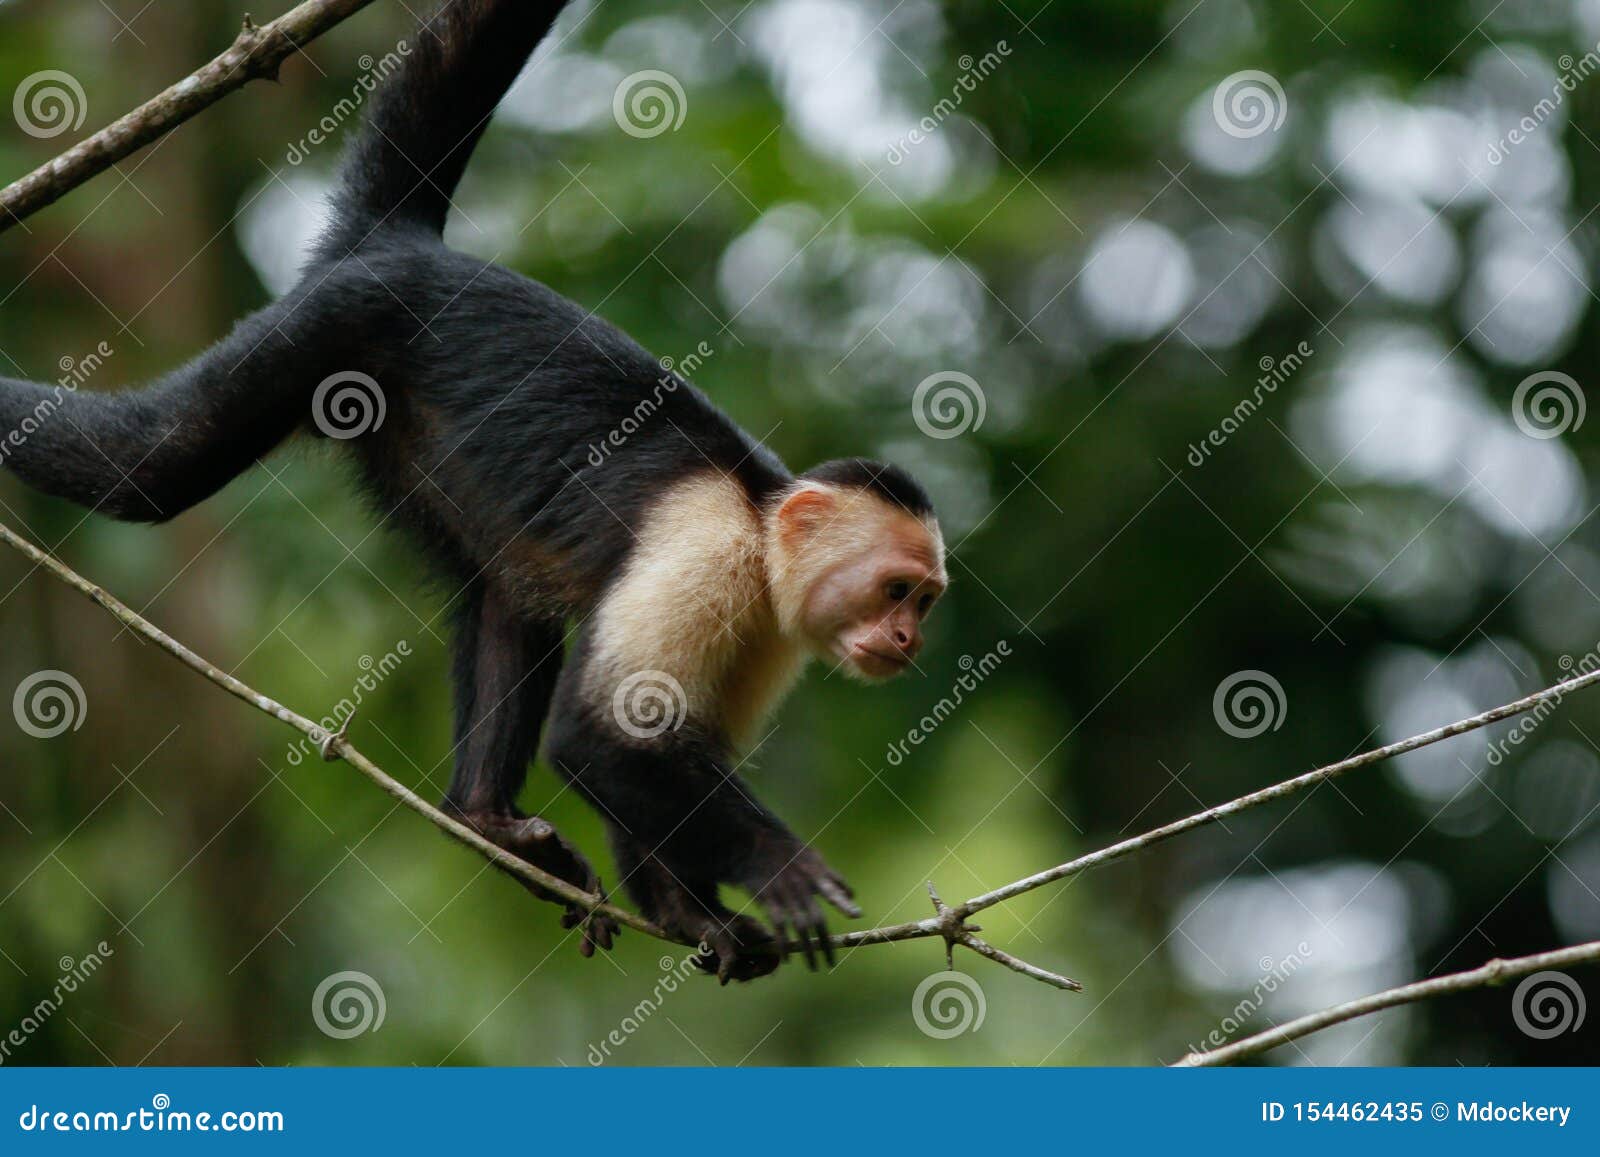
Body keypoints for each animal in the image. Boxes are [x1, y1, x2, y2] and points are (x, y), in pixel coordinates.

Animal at [0, 0, 947, 981]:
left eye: (925, 601)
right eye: (896, 589)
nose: (909, 639)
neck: (761, 531)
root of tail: (404, 242)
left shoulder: (768, 635)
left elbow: (651, 745)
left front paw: (690, 911)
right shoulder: (706, 548)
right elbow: (602, 736)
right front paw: (775, 870)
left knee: (507, 599)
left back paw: (484, 818)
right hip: (336, 321)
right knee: (149, 468)